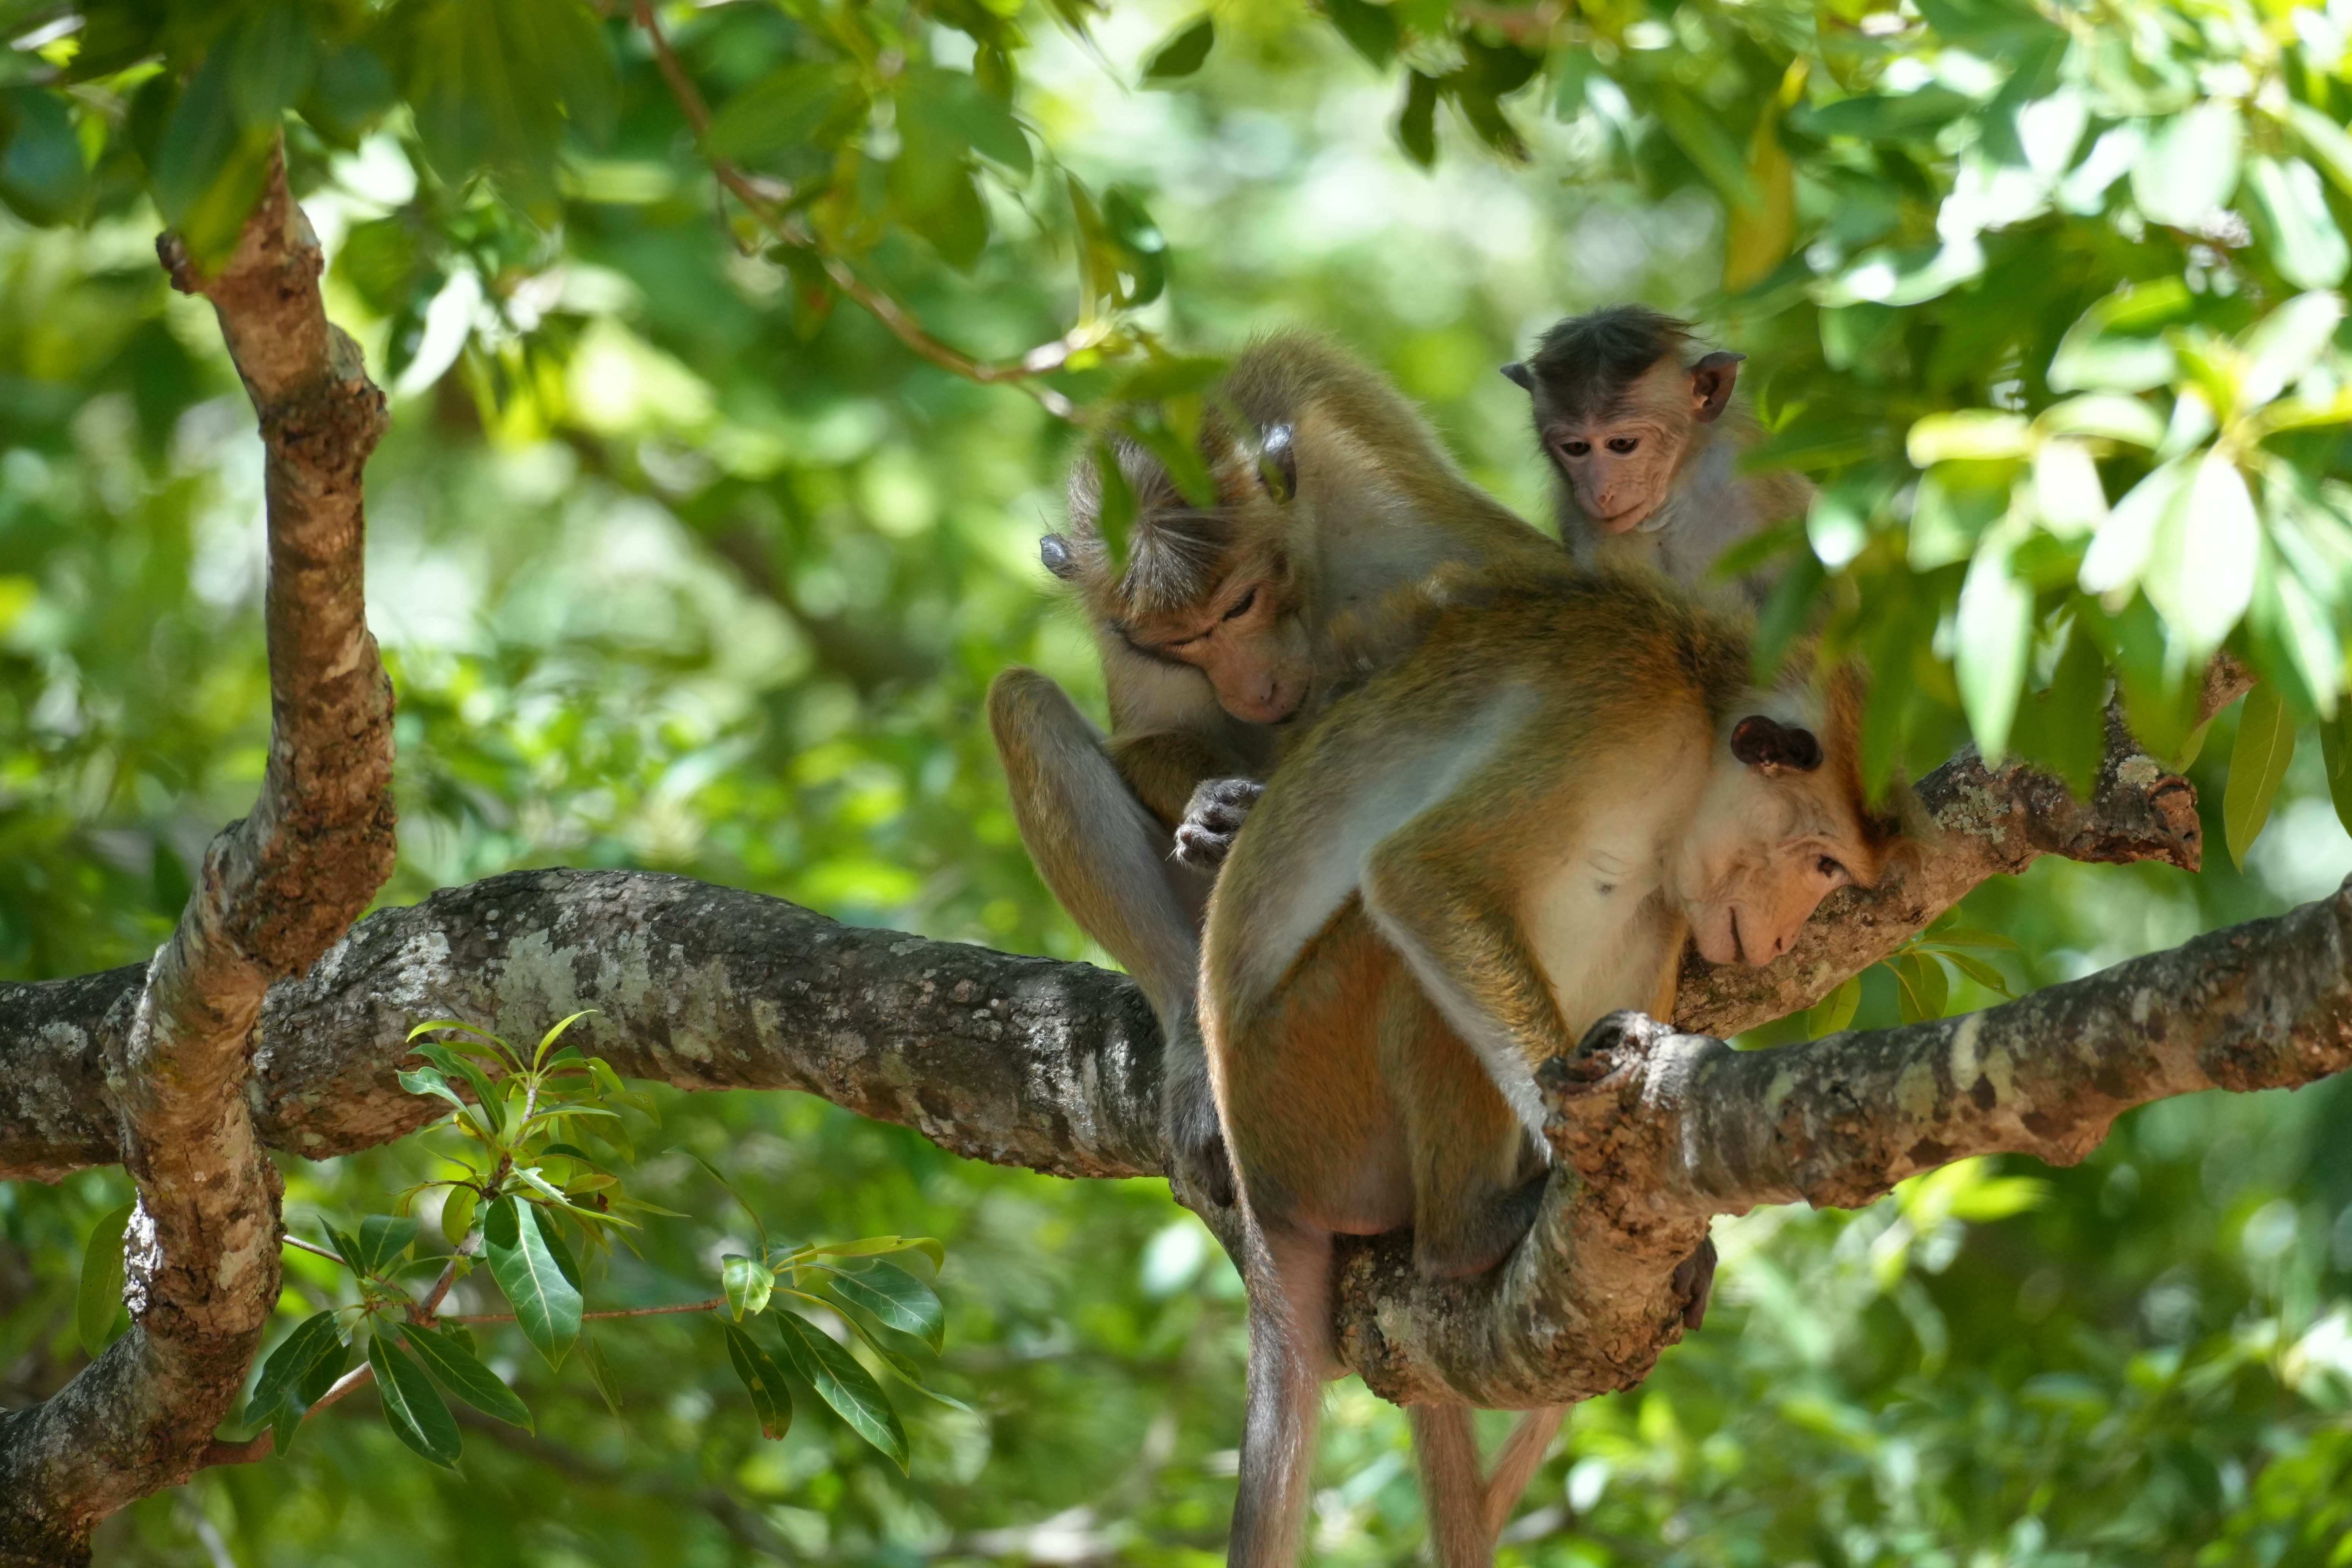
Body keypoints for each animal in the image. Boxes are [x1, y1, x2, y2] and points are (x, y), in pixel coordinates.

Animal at [987, 333, 1556, 1206]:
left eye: (1240, 604)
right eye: (1180, 642)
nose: (1253, 687)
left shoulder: (1368, 484)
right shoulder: (1116, 624)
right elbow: (1150, 737)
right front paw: (1212, 807)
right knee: (1022, 703)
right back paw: (1195, 1042)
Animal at [1197, 563, 1905, 1567]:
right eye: (1823, 864)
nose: (1780, 938)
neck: (1696, 725)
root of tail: (1259, 1186)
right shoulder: (1616, 716)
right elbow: (1422, 873)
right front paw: (1566, 1140)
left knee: (1646, 910)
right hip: (1304, 1093)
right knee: (1392, 953)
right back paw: (1471, 1230)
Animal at [1504, 305, 1812, 603]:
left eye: (1622, 444)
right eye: (1577, 448)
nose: (1600, 494)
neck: (1672, 495)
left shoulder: (1753, 487)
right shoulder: (1572, 509)